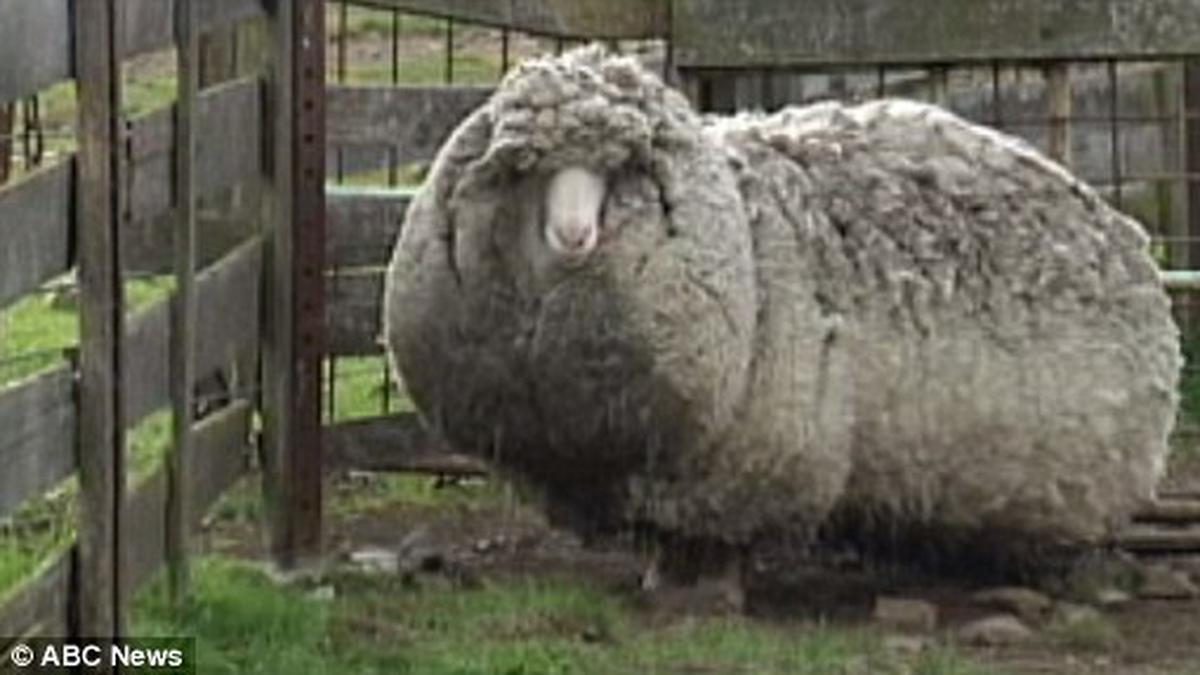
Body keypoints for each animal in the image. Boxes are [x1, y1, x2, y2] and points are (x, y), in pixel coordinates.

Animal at [382, 47, 1182, 599]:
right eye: (523, 170)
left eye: (624, 170)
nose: (573, 235)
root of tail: (1125, 233)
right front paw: (660, 578)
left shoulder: (740, 466)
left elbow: (707, 542)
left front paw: (697, 593)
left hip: (1078, 476)